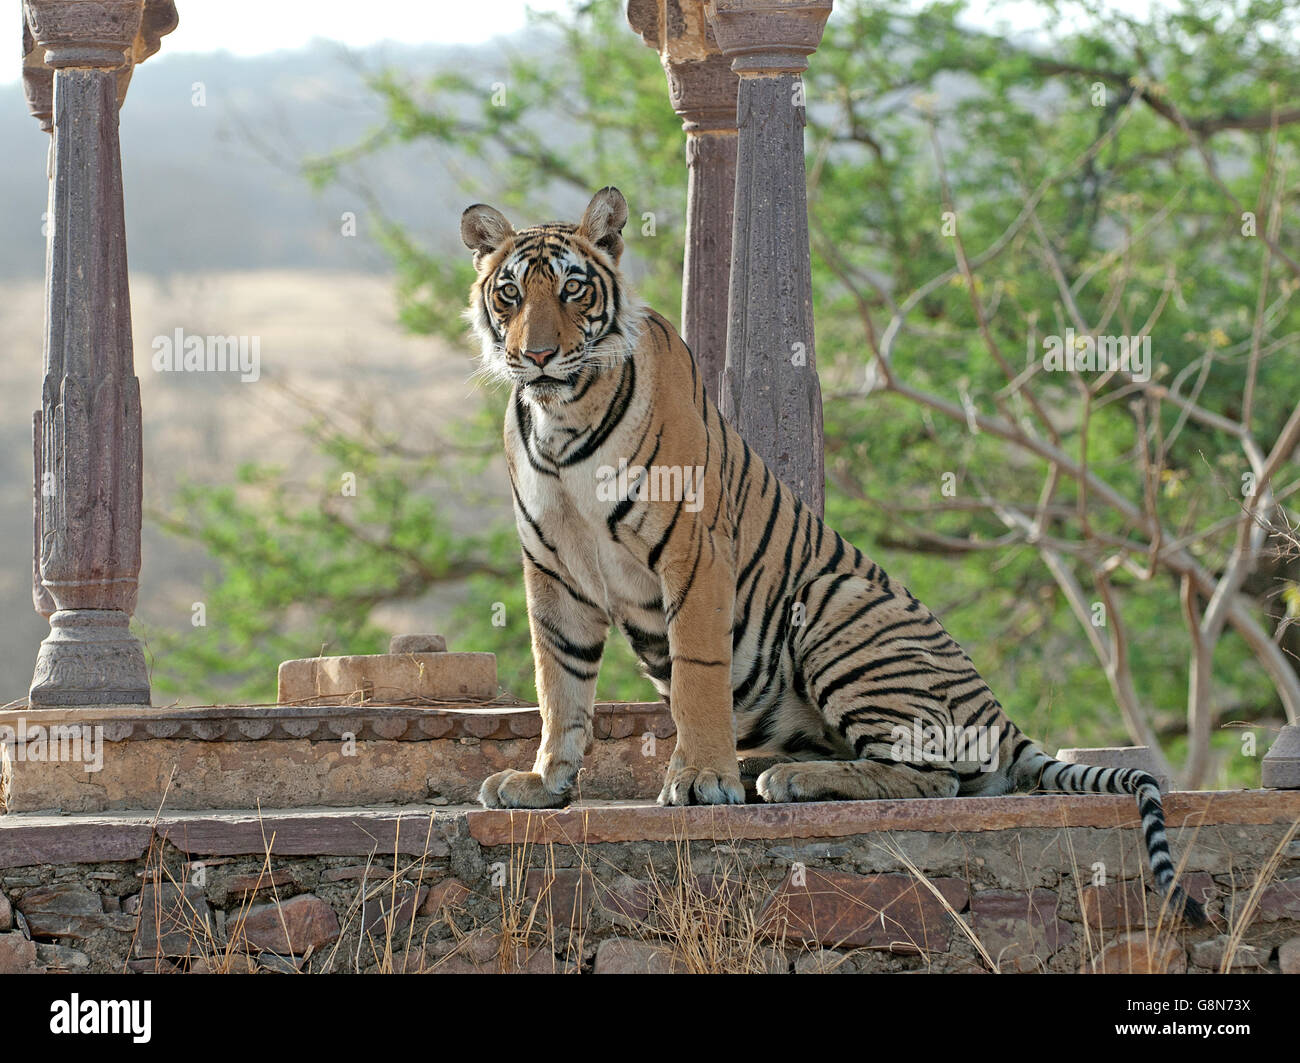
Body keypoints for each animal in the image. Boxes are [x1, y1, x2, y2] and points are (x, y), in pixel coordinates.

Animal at [460, 185, 1206, 926]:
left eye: (573, 290)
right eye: (511, 295)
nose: (538, 356)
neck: (562, 417)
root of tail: (1002, 715)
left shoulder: (694, 551)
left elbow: (696, 676)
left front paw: (699, 780)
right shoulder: (555, 570)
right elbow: (558, 682)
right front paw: (543, 783)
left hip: (834, 601)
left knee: (934, 778)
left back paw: (783, 778)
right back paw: (761, 771)